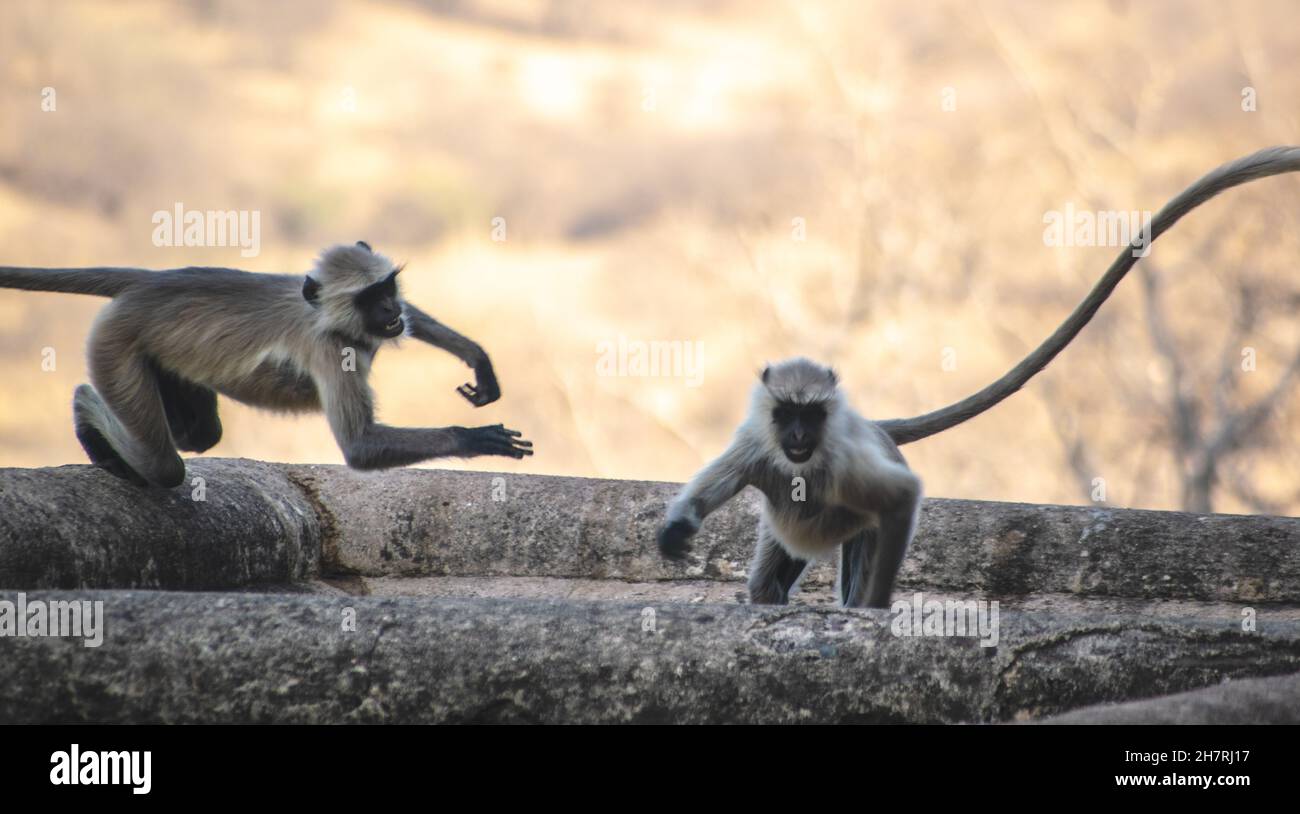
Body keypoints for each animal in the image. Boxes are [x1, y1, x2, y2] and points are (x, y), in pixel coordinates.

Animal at [0, 241, 533, 487]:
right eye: (369, 299)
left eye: (387, 289)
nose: (389, 310)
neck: (331, 319)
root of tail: (150, 282)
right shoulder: (328, 349)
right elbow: (360, 448)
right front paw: (477, 439)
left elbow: (415, 322)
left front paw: (476, 358)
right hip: (113, 342)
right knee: (164, 465)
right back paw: (86, 411)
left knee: (199, 435)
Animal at [657, 145, 1300, 609]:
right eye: (787, 414)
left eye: (811, 417)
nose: (796, 438)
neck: (804, 461)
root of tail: (874, 425)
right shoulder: (757, 446)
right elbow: (713, 486)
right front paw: (678, 527)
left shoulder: (843, 466)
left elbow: (901, 502)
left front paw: (873, 612)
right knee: (768, 580)